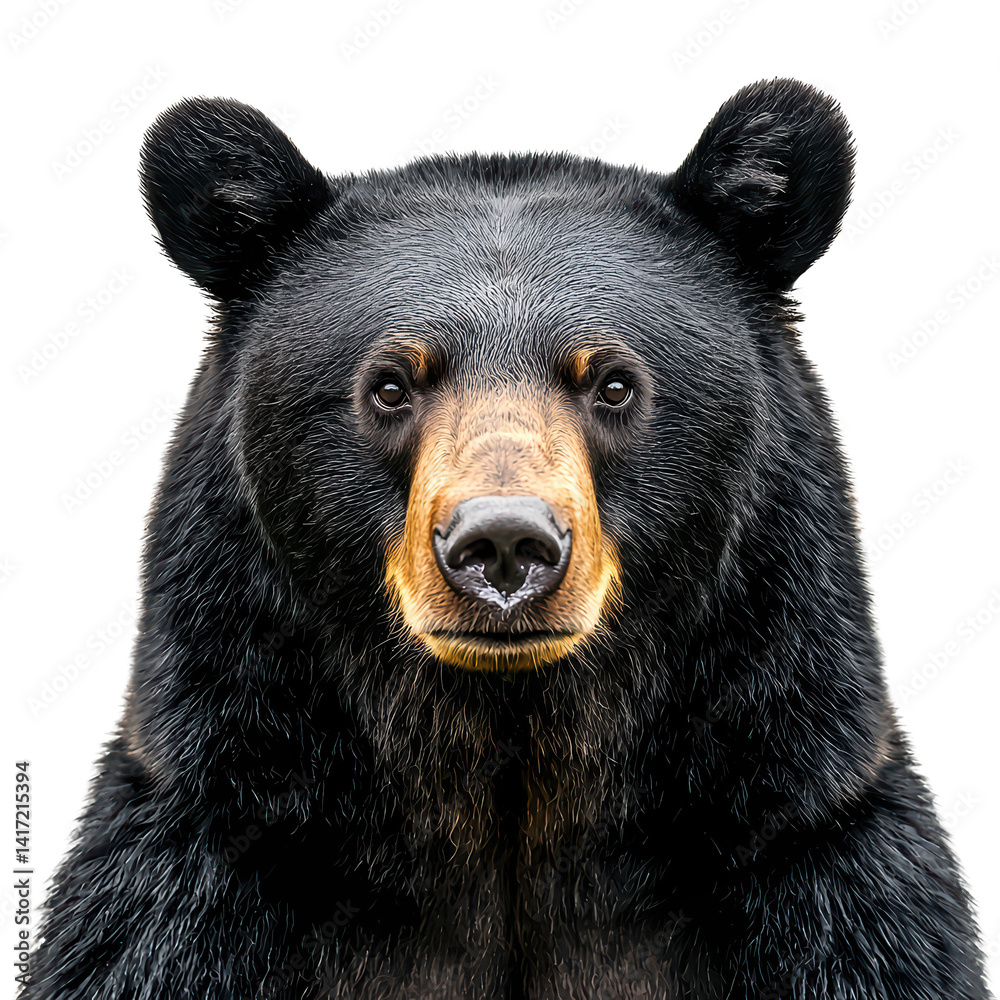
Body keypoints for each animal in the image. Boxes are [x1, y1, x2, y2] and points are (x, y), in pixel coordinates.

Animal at [23, 78, 991, 1000]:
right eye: (389, 384)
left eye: (612, 383)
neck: (510, 763)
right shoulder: (200, 865)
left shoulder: (818, 859)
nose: (503, 546)